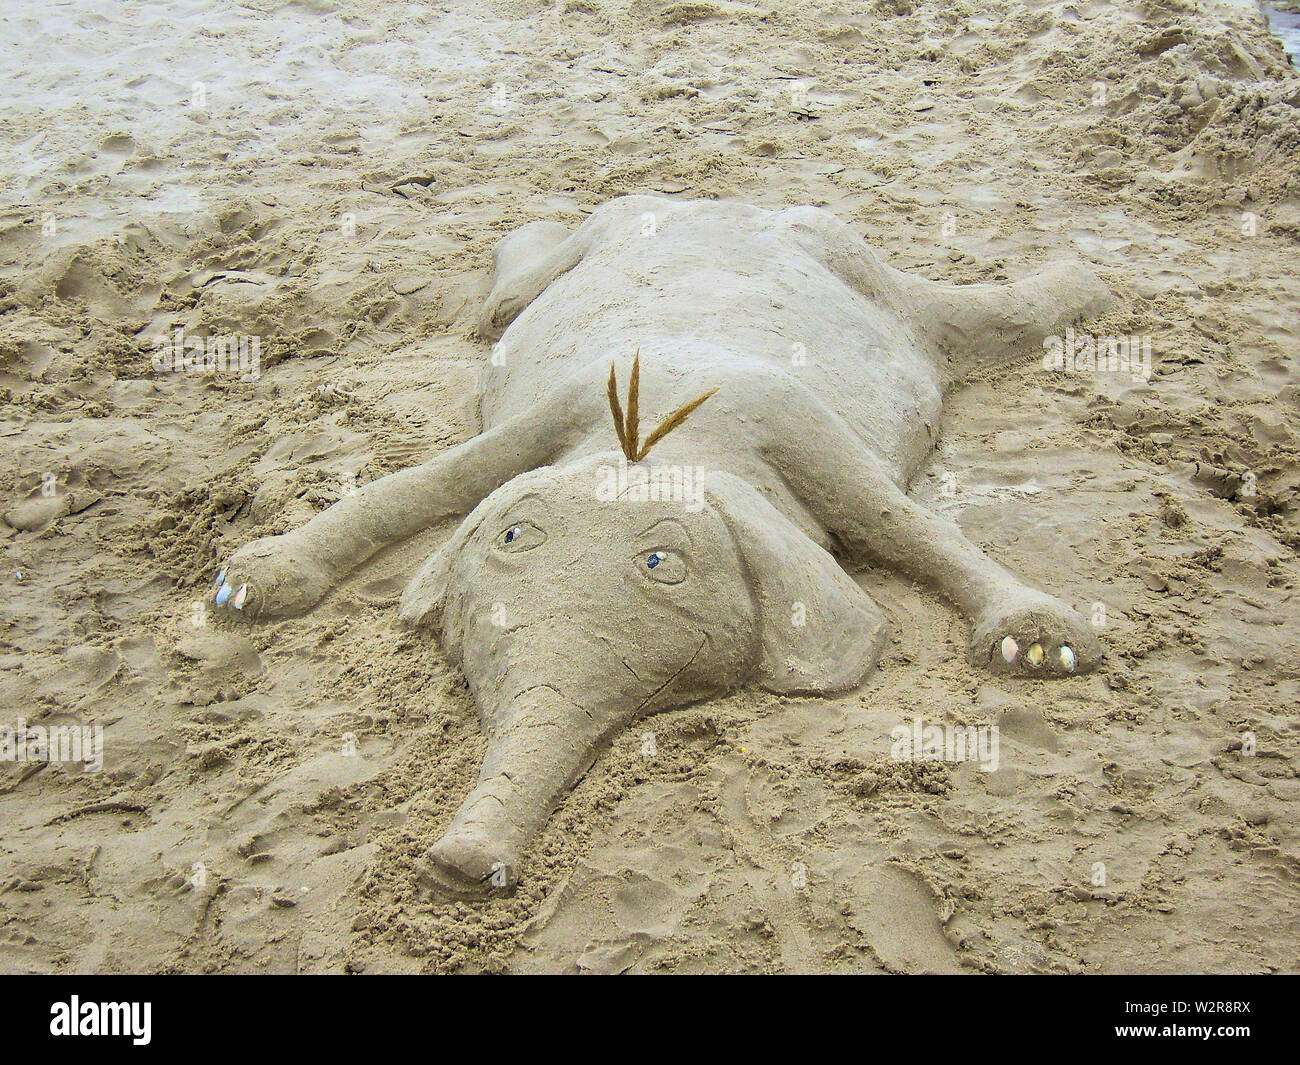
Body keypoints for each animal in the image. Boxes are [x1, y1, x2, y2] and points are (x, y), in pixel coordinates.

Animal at [210, 195, 1111, 894]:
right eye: (511, 536)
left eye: (661, 565)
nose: (456, 865)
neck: (656, 442)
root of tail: (734, 202)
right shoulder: (558, 409)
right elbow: (428, 479)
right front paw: (247, 585)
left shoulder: (794, 422)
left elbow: (903, 519)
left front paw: (1039, 644)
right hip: (623, 227)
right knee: (516, 293)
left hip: (852, 258)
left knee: (965, 313)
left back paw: (1086, 281)